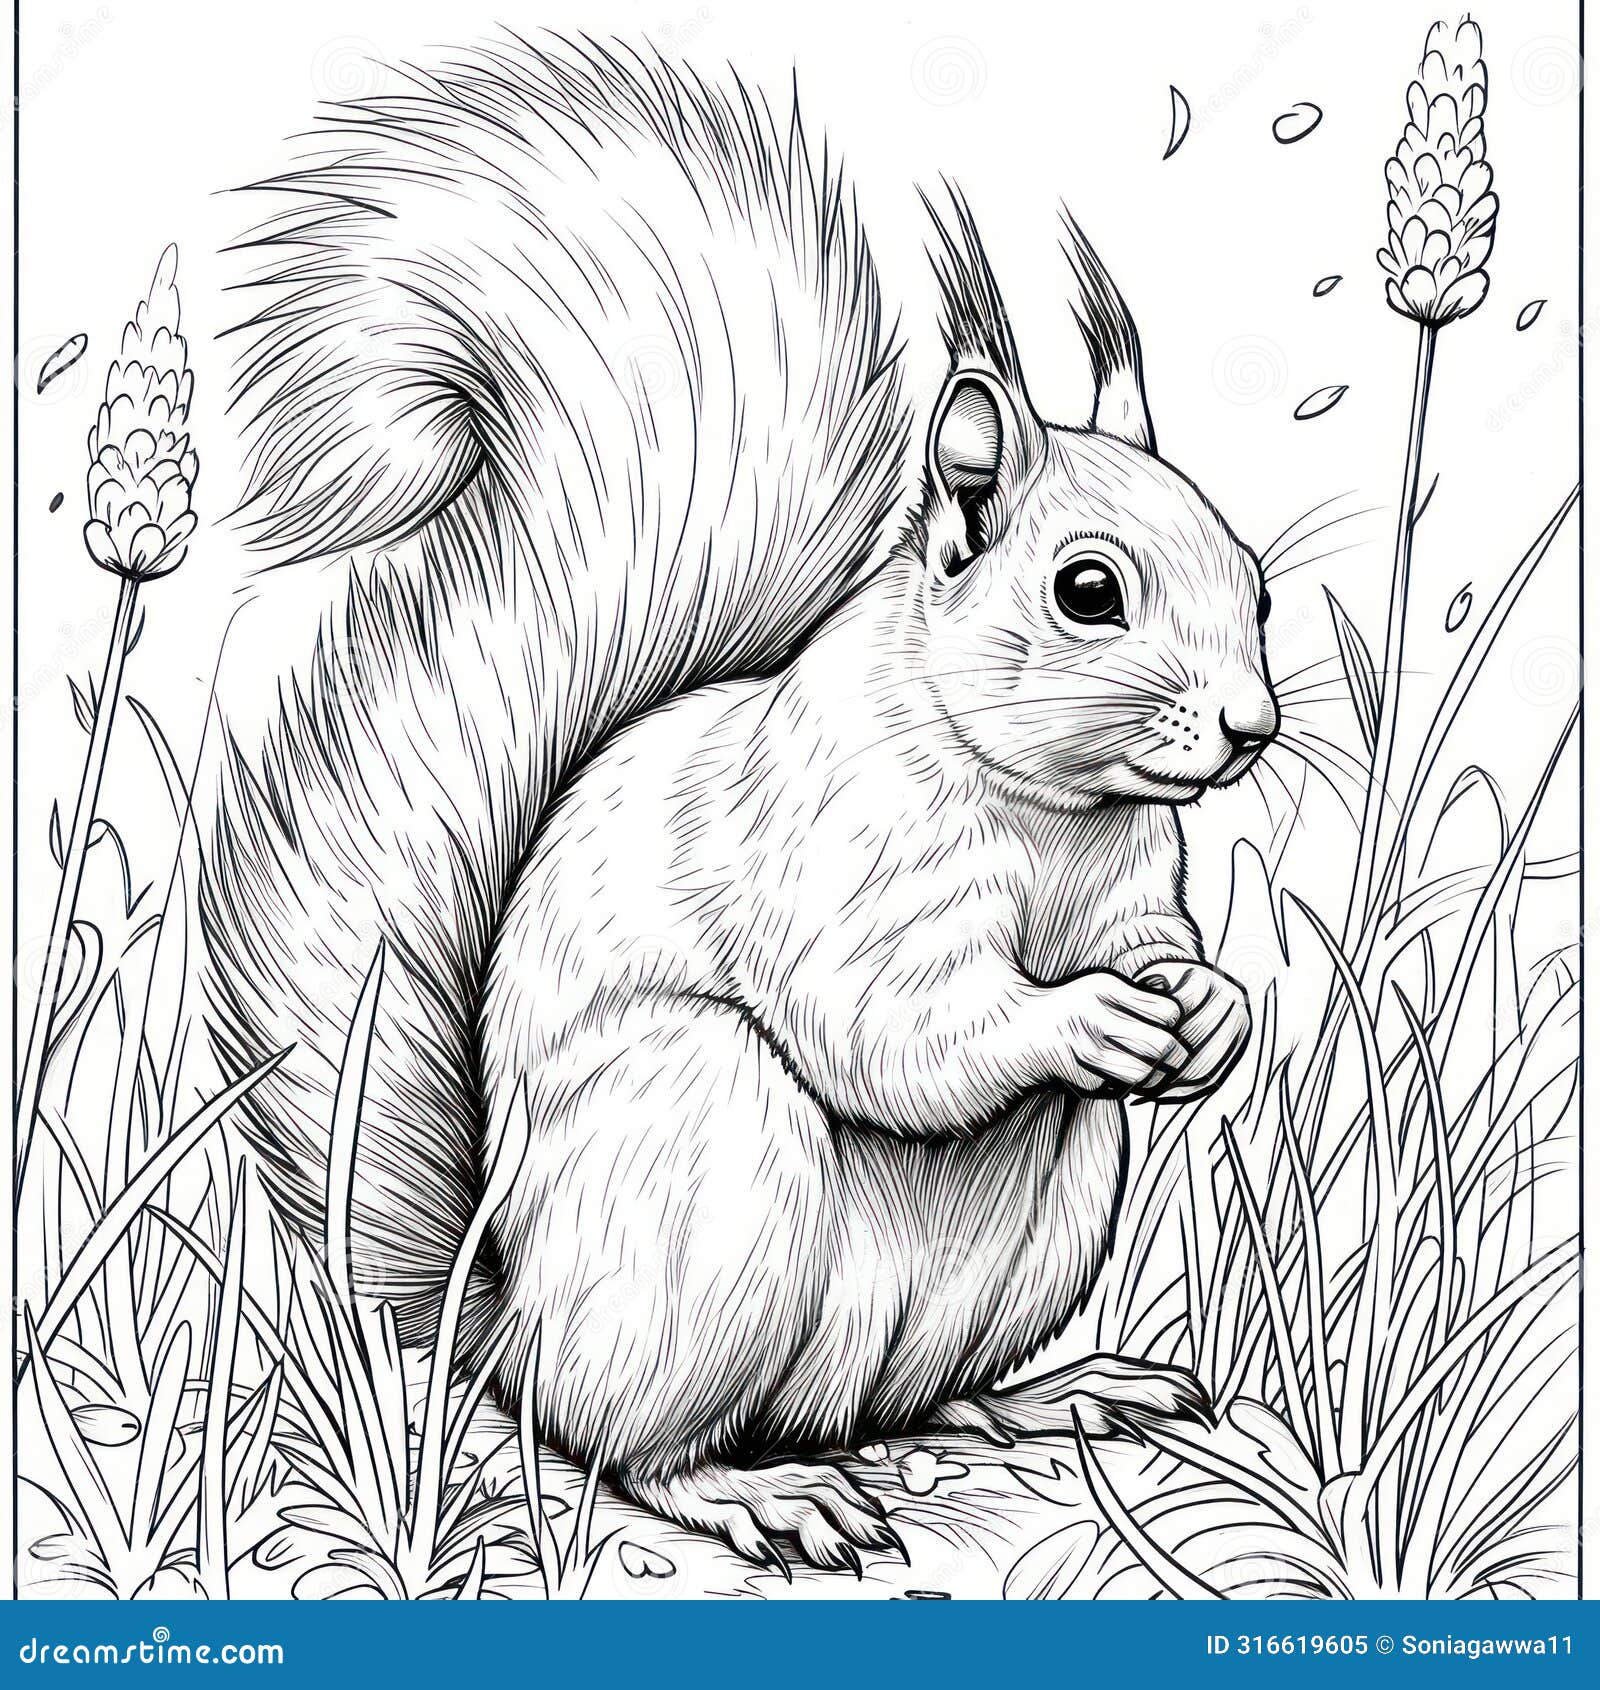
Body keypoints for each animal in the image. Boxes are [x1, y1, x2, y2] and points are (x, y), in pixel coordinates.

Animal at [199, 39, 1278, 1572]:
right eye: (1089, 590)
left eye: (1256, 584)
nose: (1252, 728)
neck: (1043, 811)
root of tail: (510, 1323)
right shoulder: (835, 856)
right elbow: (890, 1027)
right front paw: (1085, 1019)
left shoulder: (1132, 884)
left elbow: (1154, 949)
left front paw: (1209, 1012)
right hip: (708, 1152)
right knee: (631, 1444)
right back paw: (759, 1491)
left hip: (1035, 1228)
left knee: (922, 1400)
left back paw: (1052, 1393)